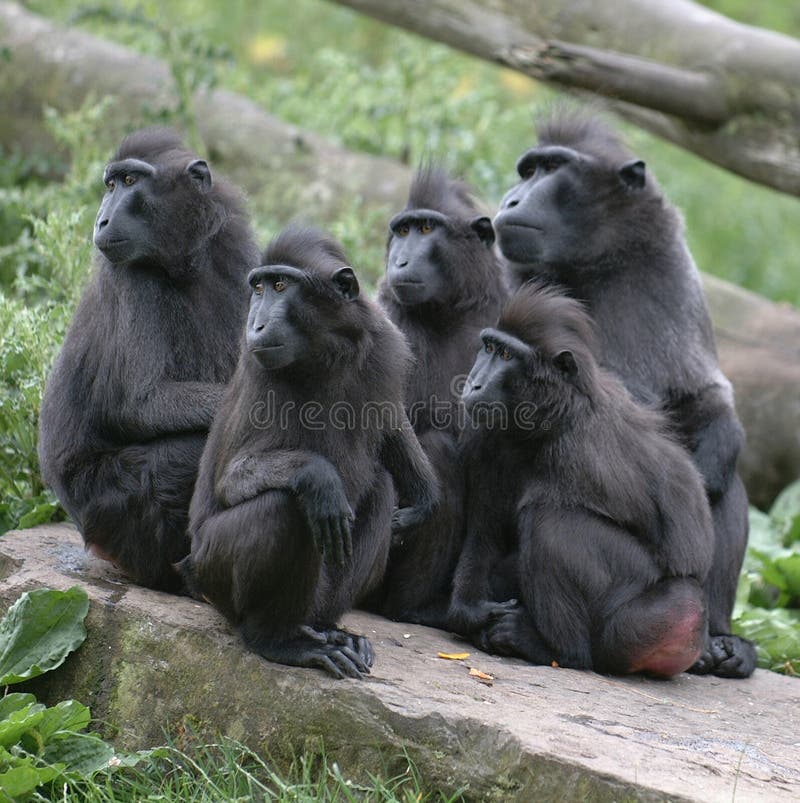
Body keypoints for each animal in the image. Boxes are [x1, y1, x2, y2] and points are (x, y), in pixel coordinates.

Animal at [38, 127, 259, 592]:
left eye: (129, 182)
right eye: (111, 184)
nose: (101, 220)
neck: (185, 262)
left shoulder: (235, 251)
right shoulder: (131, 276)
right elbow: (139, 405)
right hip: (111, 510)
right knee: (192, 453)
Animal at [180, 226, 438, 678]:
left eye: (281, 286)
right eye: (259, 287)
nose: (256, 323)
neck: (327, 352)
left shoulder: (382, 343)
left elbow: (389, 419)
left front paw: (423, 499)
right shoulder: (259, 371)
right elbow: (233, 478)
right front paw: (319, 478)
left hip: (325, 592)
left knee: (381, 487)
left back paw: (327, 629)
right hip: (216, 572)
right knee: (285, 507)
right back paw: (277, 639)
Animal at [449, 283, 715, 677]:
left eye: (506, 354)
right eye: (489, 347)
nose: (473, 383)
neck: (552, 419)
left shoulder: (574, 451)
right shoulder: (488, 437)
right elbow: (487, 530)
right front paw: (470, 613)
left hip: (641, 612)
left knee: (549, 521)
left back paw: (557, 650)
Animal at [493, 109, 755, 678]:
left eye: (550, 169)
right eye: (528, 170)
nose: (510, 199)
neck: (598, 266)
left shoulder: (672, 274)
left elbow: (705, 396)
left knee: (723, 479)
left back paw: (720, 644)